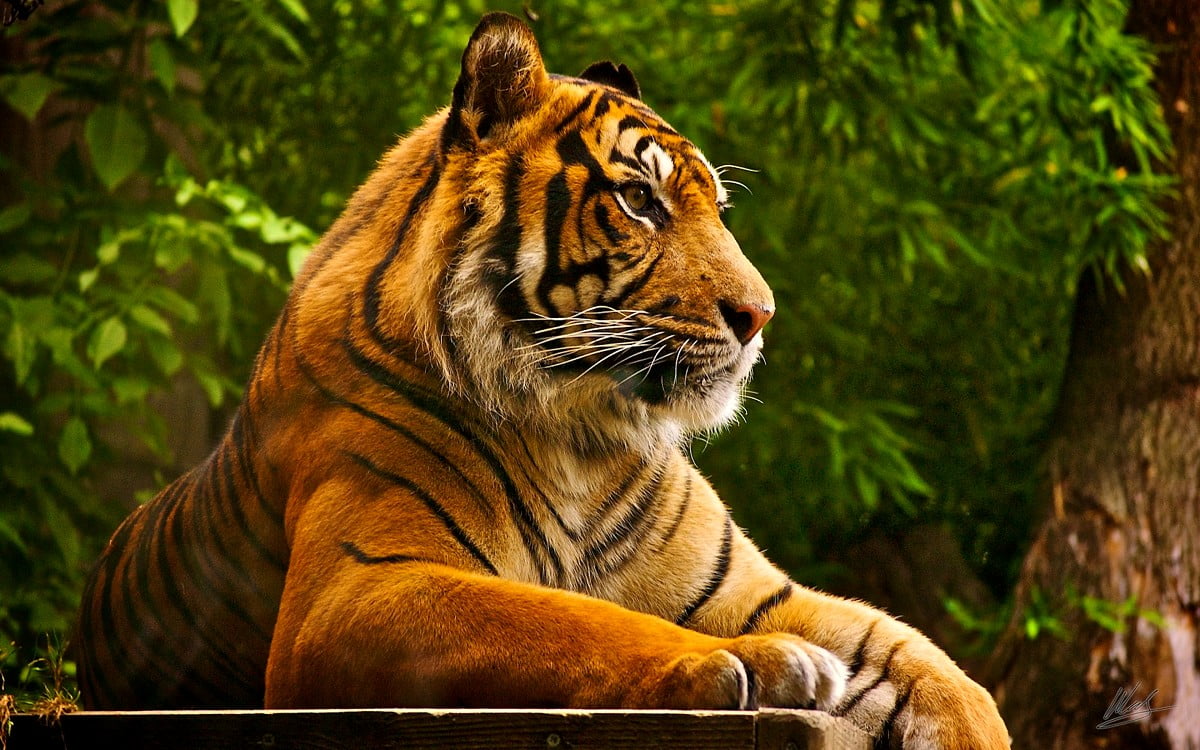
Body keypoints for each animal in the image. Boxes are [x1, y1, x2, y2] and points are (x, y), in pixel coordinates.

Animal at [75, 12, 1009, 749]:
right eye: (640, 202)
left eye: (715, 208)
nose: (760, 315)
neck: (583, 434)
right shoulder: (355, 590)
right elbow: (576, 618)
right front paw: (742, 662)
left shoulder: (753, 588)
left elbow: (930, 662)